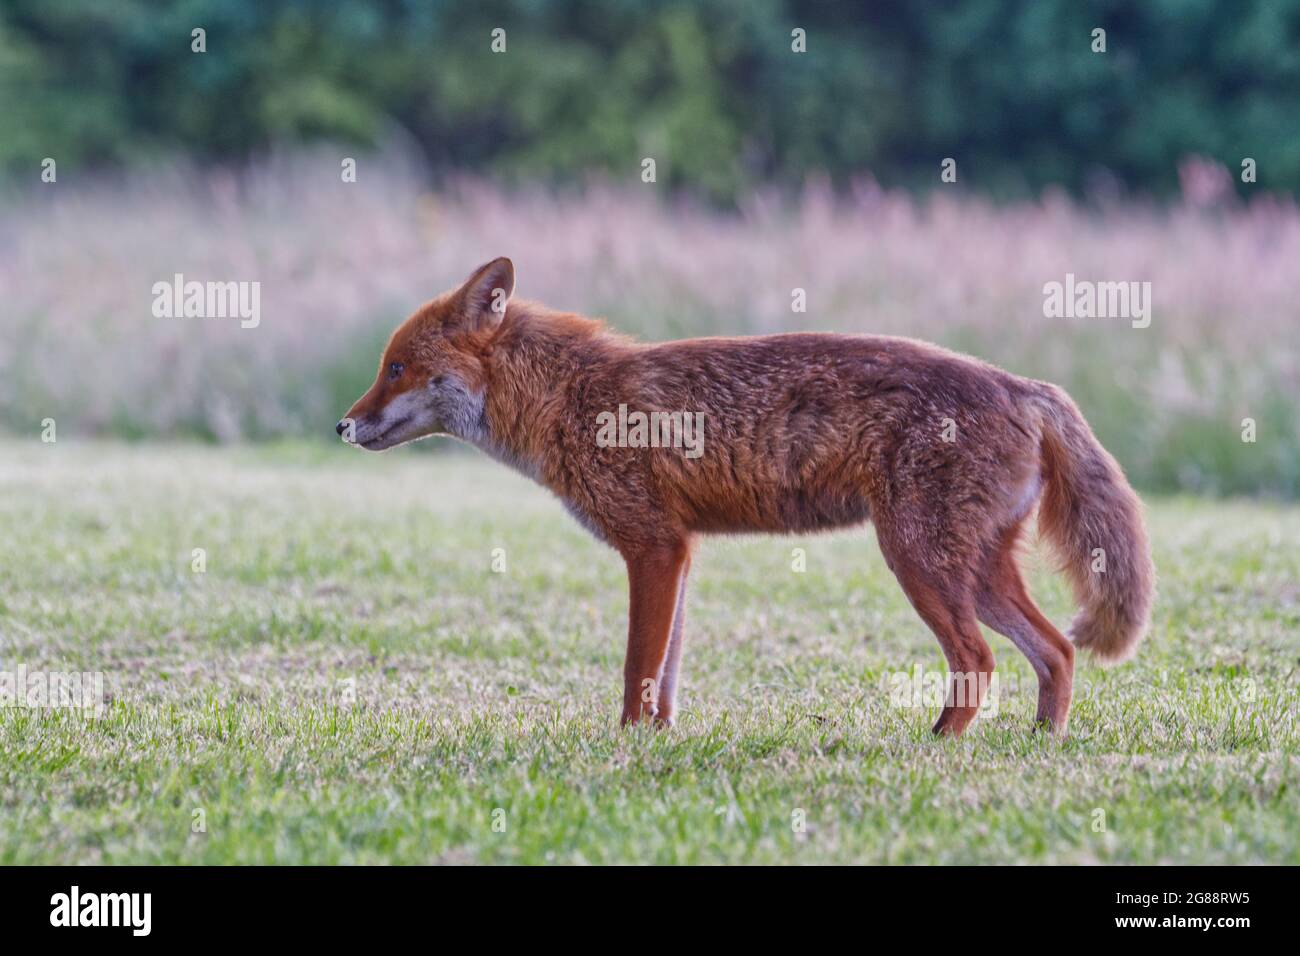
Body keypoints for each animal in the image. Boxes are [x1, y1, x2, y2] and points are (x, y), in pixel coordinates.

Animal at [339, 258, 1154, 736]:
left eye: (396, 367)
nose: (341, 425)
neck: (574, 398)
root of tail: (1025, 386)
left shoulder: (654, 548)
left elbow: (636, 670)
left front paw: (626, 747)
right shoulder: (682, 554)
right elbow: (664, 677)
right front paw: (658, 742)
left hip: (920, 562)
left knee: (979, 659)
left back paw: (938, 746)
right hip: (975, 571)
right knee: (1056, 652)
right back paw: (1040, 743)